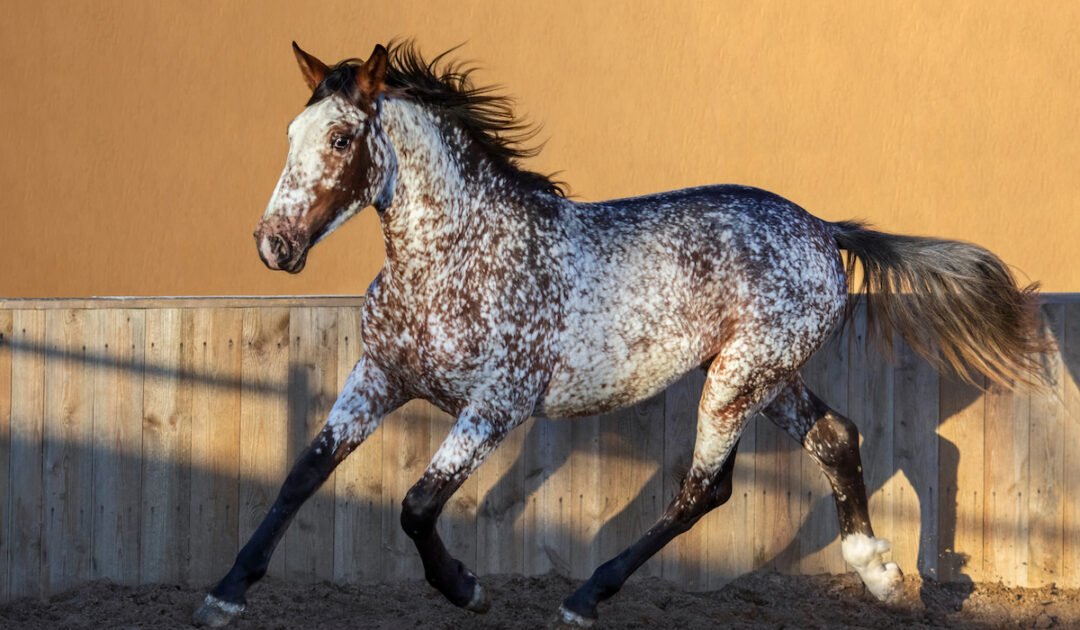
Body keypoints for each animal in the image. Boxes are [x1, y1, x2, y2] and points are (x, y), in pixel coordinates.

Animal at [193, 41, 1046, 628]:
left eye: (341, 140)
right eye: (291, 132)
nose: (274, 246)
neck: (455, 256)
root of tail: (822, 229)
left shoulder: (496, 405)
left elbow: (417, 504)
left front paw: (467, 588)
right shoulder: (380, 376)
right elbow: (304, 472)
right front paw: (225, 593)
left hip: (738, 377)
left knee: (705, 488)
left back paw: (585, 597)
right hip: (769, 376)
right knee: (835, 438)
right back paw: (880, 576)